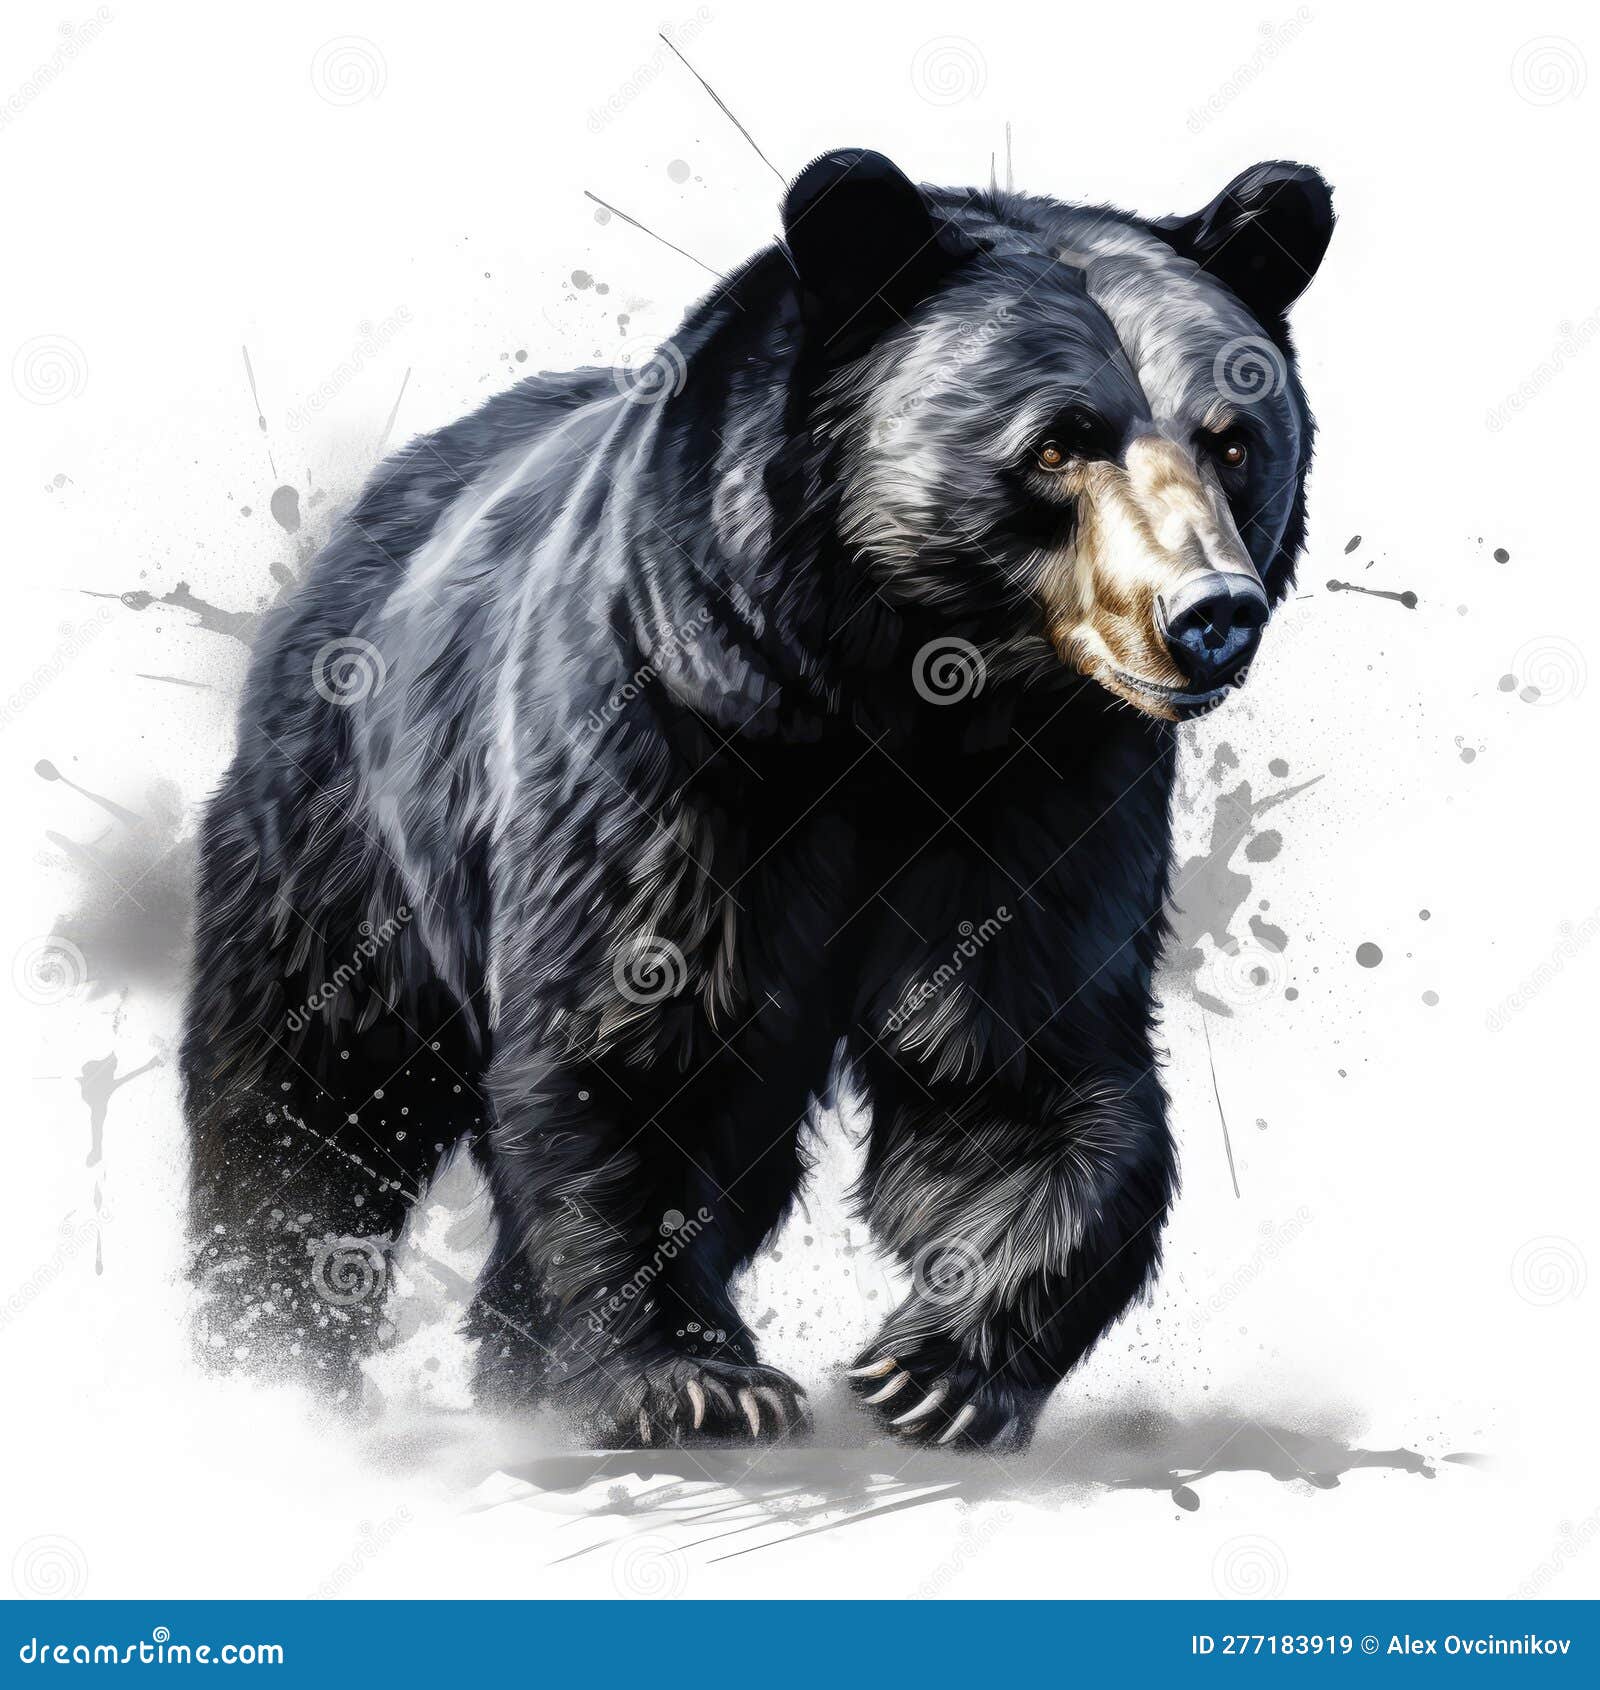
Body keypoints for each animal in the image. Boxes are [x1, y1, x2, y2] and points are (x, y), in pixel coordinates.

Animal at [182, 148, 1332, 1449]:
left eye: (1232, 438)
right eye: (1055, 444)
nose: (1210, 613)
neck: (894, 712)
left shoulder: (1045, 798)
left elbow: (1014, 1065)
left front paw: (938, 1368)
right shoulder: (678, 747)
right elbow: (637, 1043)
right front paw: (690, 1376)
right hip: (345, 813)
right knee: (309, 1078)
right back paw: (270, 1337)